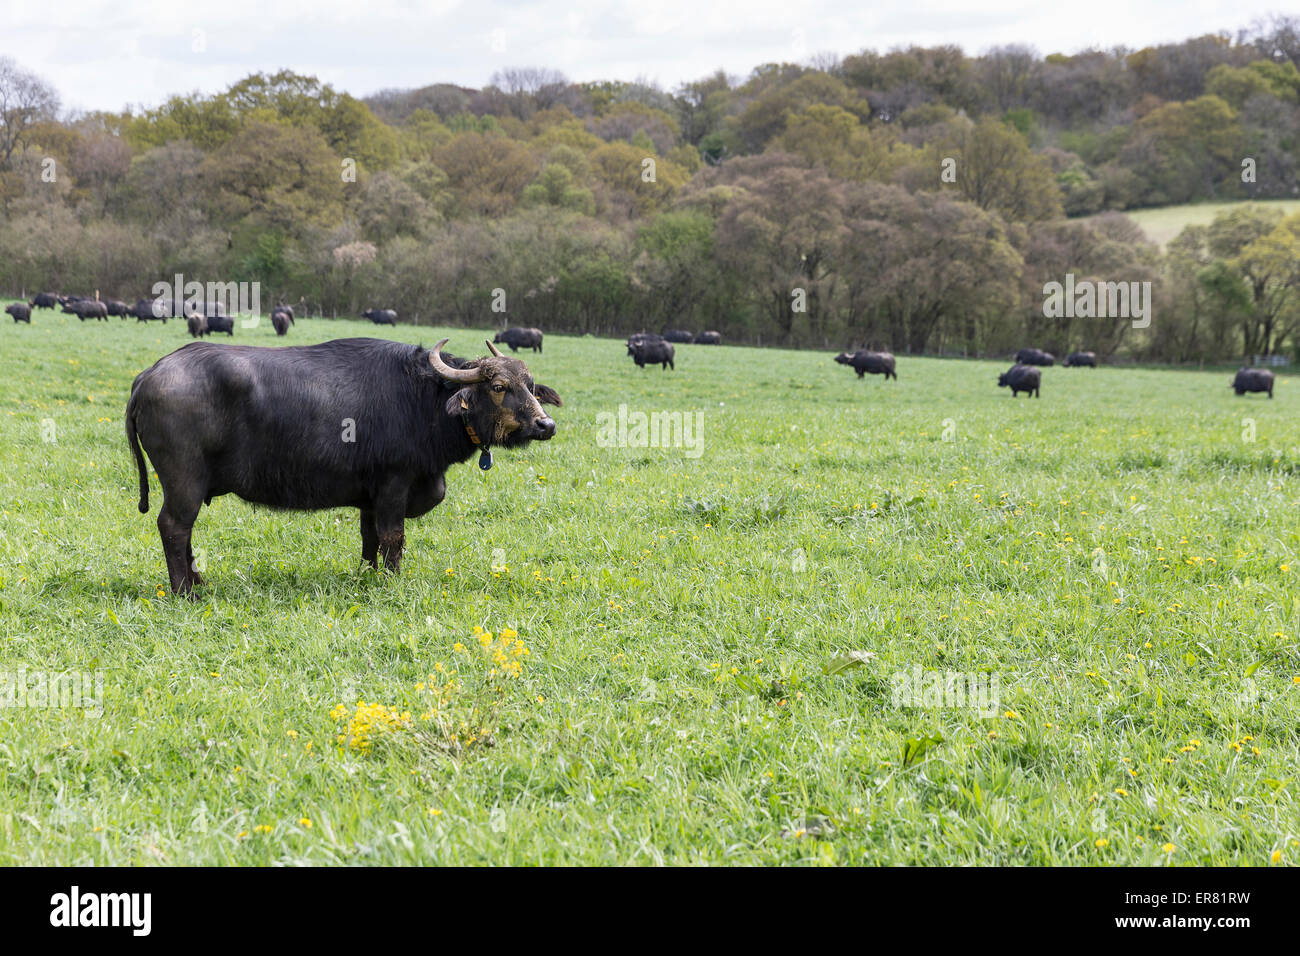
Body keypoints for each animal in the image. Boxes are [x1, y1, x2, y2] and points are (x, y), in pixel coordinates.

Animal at [125, 337, 561, 594]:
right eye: (499, 387)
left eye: (530, 385)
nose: (546, 424)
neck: (424, 401)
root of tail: (150, 374)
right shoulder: (393, 484)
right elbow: (393, 537)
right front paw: (391, 580)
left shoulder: (370, 497)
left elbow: (370, 539)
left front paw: (368, 574)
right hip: (184, 482)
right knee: (174, 527)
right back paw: (185, 590)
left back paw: (197, 580)